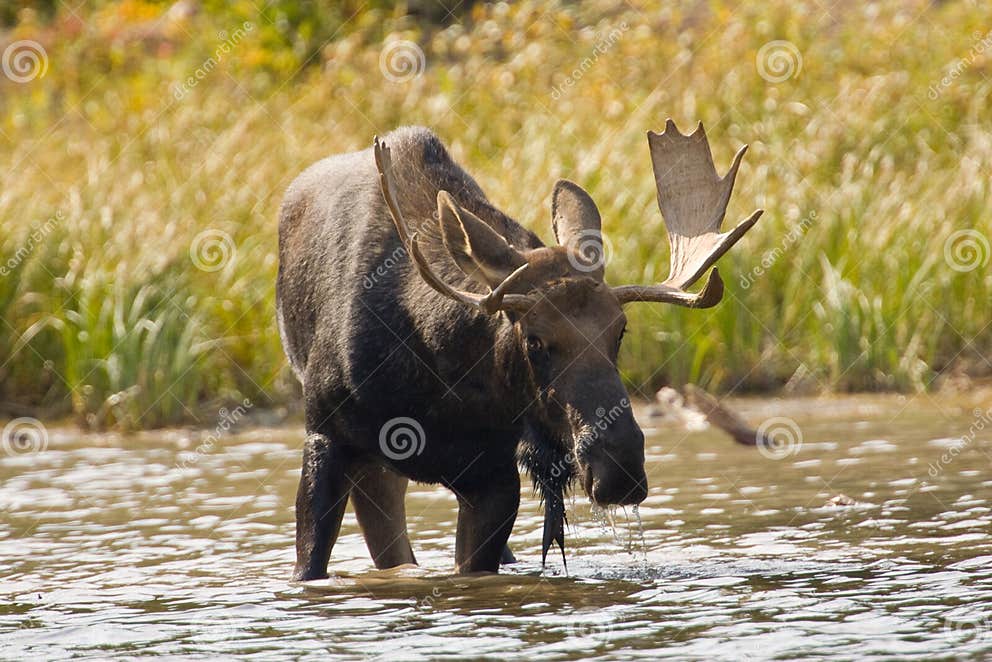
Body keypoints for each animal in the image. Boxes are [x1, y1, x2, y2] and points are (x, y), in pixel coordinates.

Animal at [276, 120, 762, 580]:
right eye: (534, 339)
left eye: (620, 331)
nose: (620, 465)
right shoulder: (325, 436)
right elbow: (309, 565)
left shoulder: (494, 475)